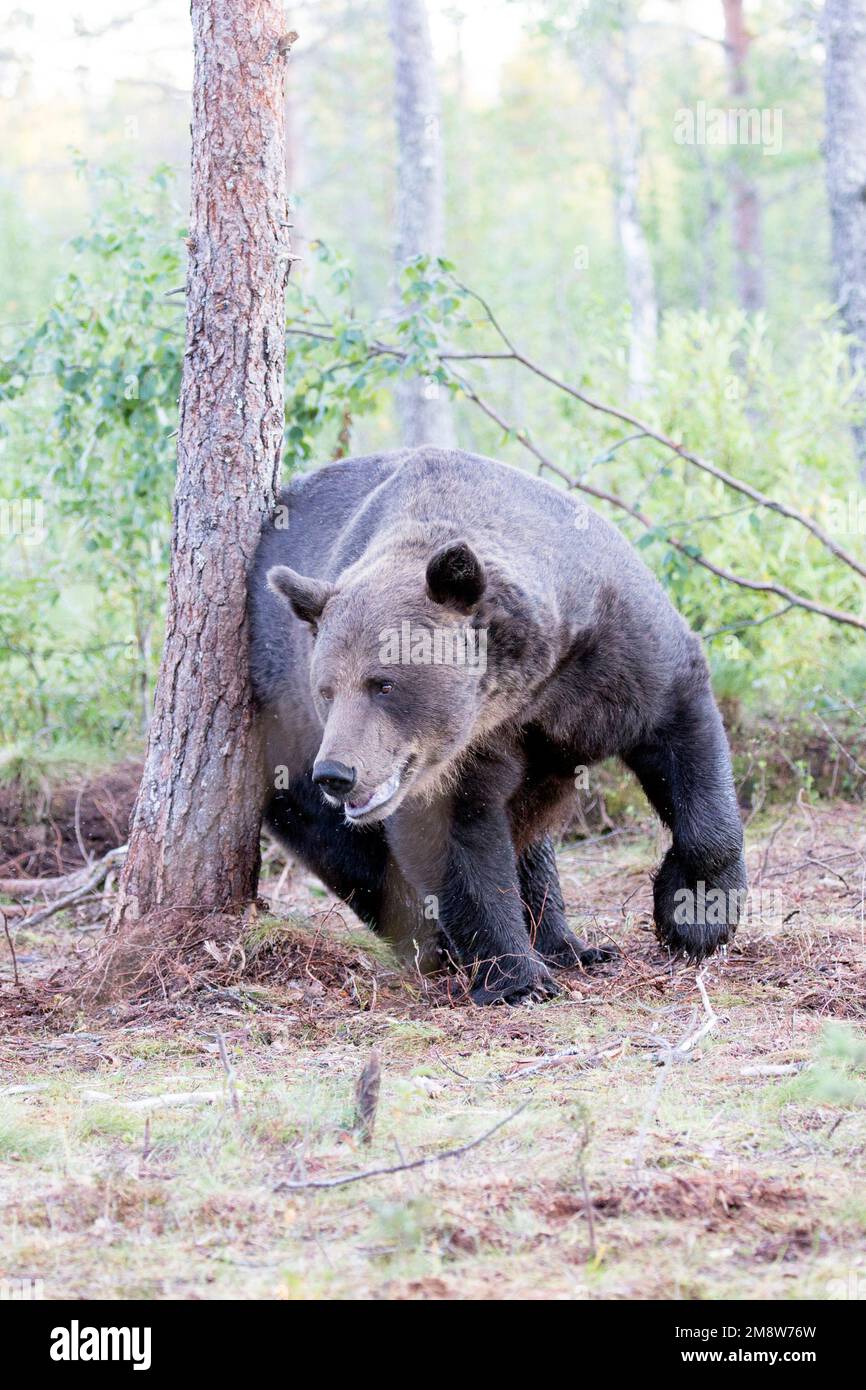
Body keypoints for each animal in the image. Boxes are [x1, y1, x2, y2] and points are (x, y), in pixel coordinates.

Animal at [249, 446, 747, 1004]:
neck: (518, 692)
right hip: (280, 730)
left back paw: (570, 946)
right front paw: (517, 978)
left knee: (532, 846)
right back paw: (444, 946)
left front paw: (695, 919)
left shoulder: (615, 657)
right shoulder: (454, 758)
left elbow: (687, 747)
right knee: (345, 849)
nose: (337, 773)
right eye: (326, 690)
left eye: (383, 684)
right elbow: (460, 847)